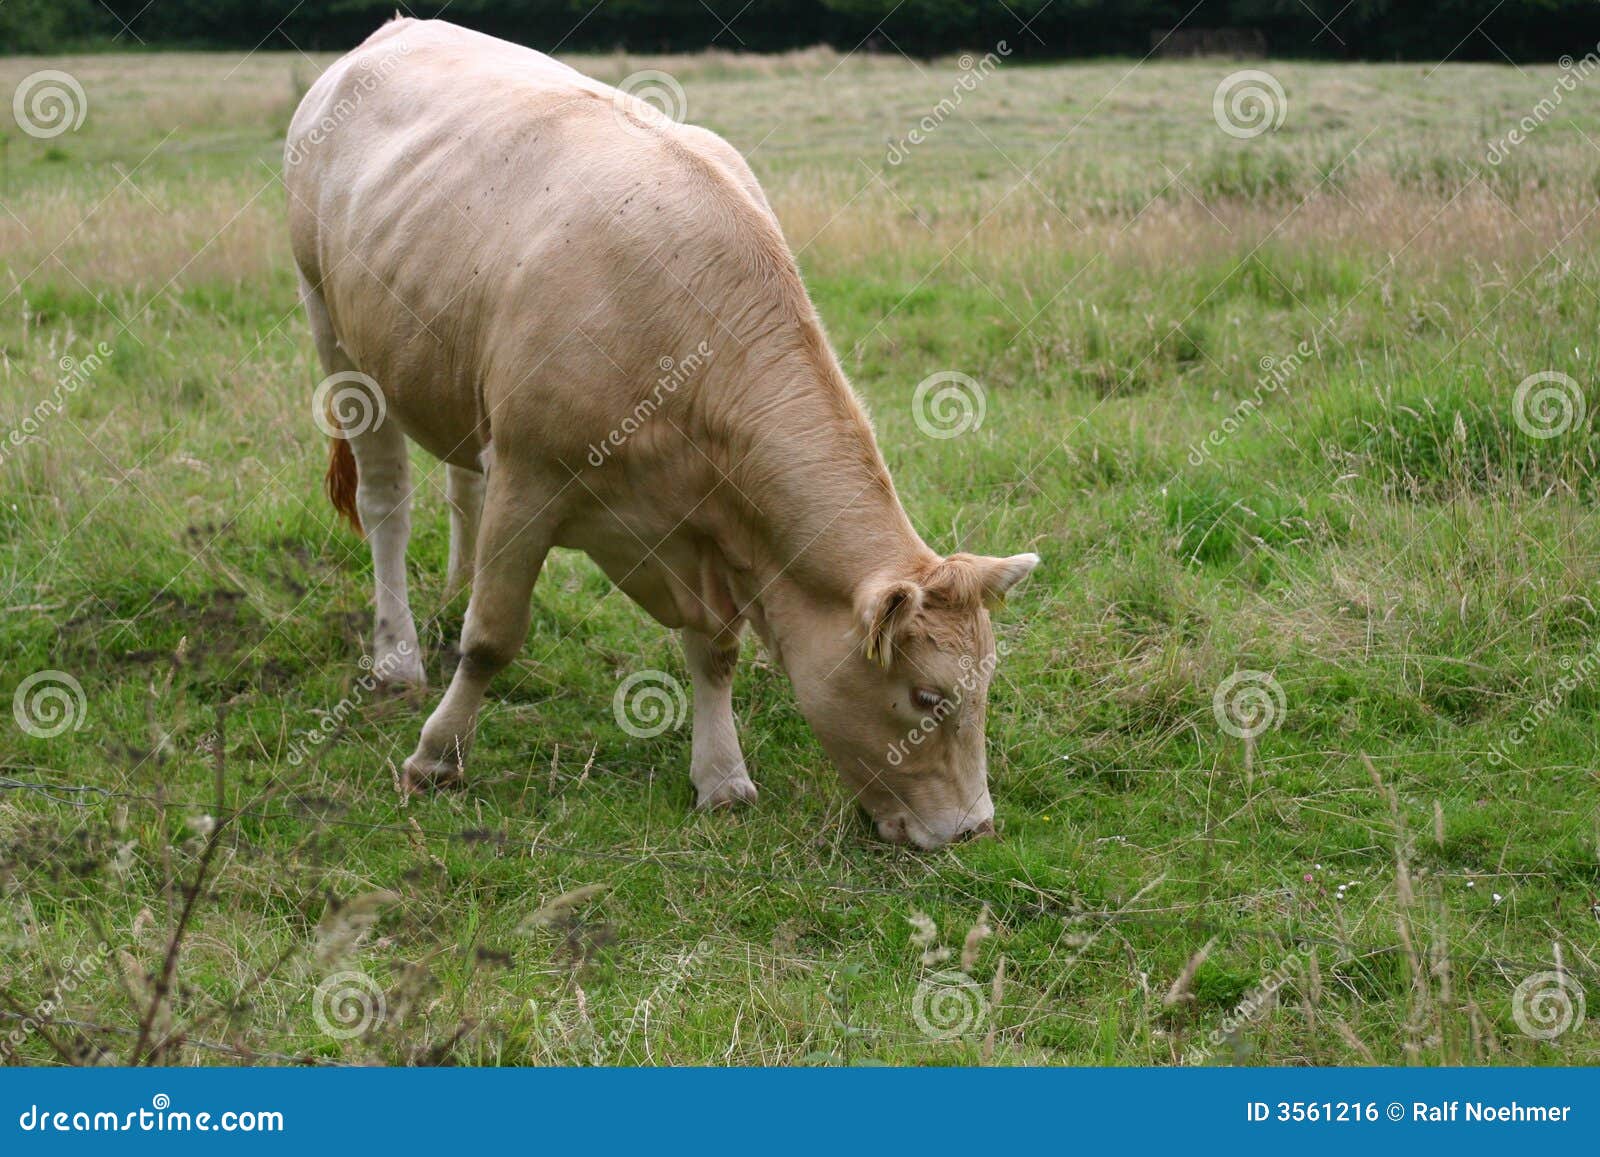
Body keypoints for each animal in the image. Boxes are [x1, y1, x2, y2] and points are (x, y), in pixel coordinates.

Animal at [285, 18, 1038, 849]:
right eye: (928, 697)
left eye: (986, 685)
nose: (972, 827)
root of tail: (393, 30)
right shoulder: (530, 474)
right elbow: (491, 638)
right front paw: (437, 756)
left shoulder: (696, 530)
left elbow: (715, 649)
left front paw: (722, 775)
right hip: (335, 332)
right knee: (388, 500)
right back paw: (398, 653)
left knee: (461, 482)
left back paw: (450, 590)